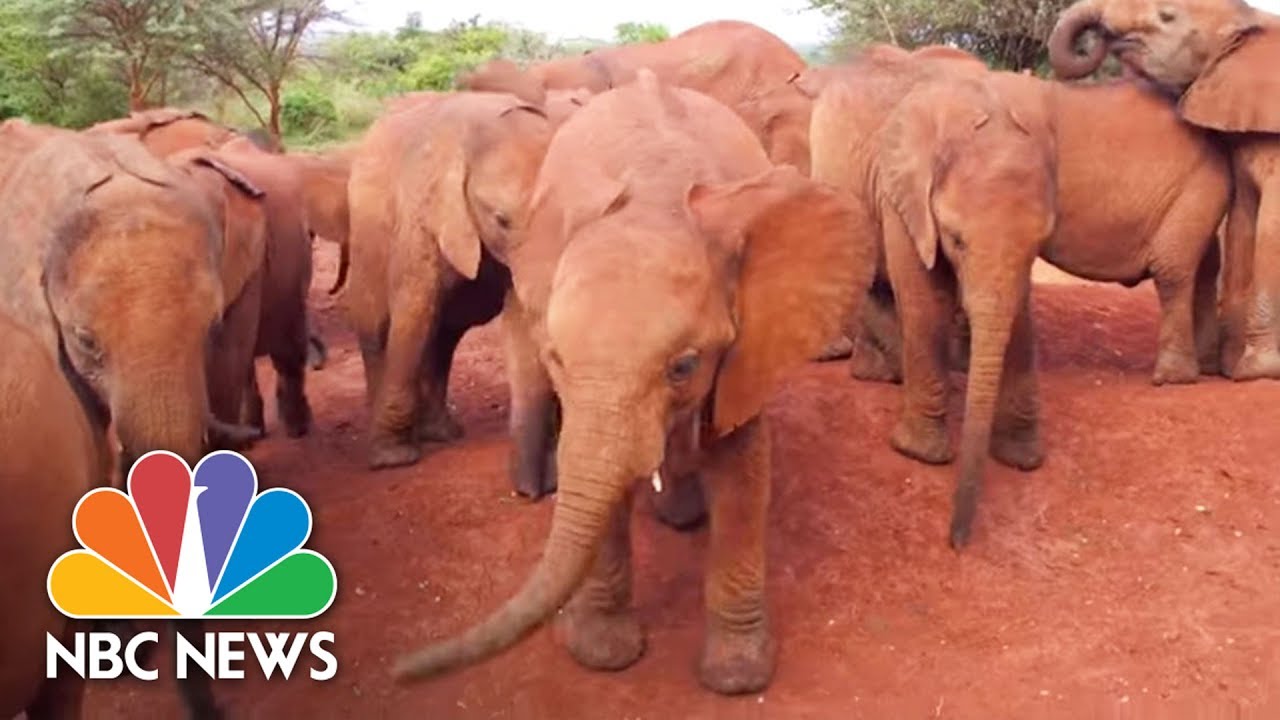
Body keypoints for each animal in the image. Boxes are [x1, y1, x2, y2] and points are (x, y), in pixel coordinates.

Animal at [338, 91, 571, 471]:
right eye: (501, 220)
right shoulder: (424, 209)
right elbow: (414, 309)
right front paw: (393, 459)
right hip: (365, 230)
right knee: (377, 325)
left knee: (444, 334)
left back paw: (440, 432)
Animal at [393, 71, 871, 695]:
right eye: (556, 357)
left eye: (684, 367)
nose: (400, 671)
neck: (657, 198)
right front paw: (602, 653)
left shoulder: (749, 343)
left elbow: (743, 468)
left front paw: (737, 678)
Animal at [803, 49, 1059, 548]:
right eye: (956, 239)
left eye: (1041, 241)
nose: (956, 542)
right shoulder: (903, 191)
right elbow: (925, 300)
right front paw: (918, 453)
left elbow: (1019, 311)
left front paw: (1021, 459)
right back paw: (880, 376)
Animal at [1049, 0, 1280, 380]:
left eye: (1166, 16)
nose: (1096, 40)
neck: (1253, 20)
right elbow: (1243, 223)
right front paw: (1231, 370)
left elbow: (1271, 229)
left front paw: (1254, 373)